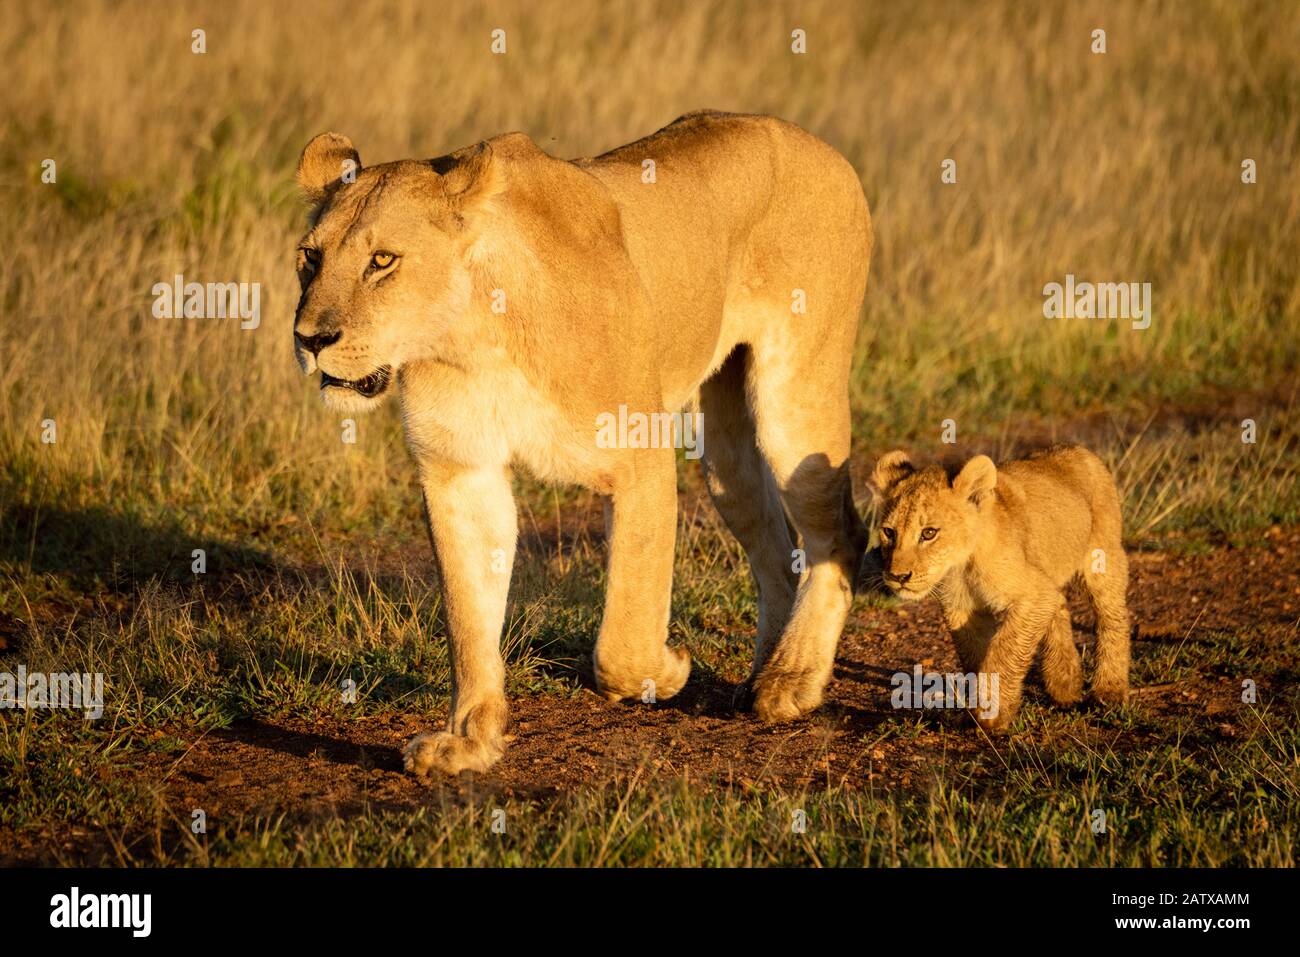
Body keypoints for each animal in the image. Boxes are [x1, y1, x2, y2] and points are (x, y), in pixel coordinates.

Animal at [292, 111, 873, 774]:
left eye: (383, 260)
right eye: (310, 257)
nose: (310, 339)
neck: (468, 336)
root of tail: (820, 145)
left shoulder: (641, 454)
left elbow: (623, 632)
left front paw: (667, 671)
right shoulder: (459, 470)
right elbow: (469, 615)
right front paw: (468, 741)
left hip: (795, 397)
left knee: (838, 533)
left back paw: (791, 682)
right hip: (726, 452)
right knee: (775, 543)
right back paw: (764, 675)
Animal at [870, 445, 1131, 731]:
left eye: (929, 533)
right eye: (889, 532)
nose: (898, 576)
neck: (962, 564)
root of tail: (1079, 449)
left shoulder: (1032, 594)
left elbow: (1005, 651)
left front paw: (991, 714)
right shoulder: (962, 608)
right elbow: (973, 653)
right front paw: (976, 708)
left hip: (1103, 558)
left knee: (1113, 618)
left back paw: (1109, 690)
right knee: (1060, 605)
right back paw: (1065, 685)